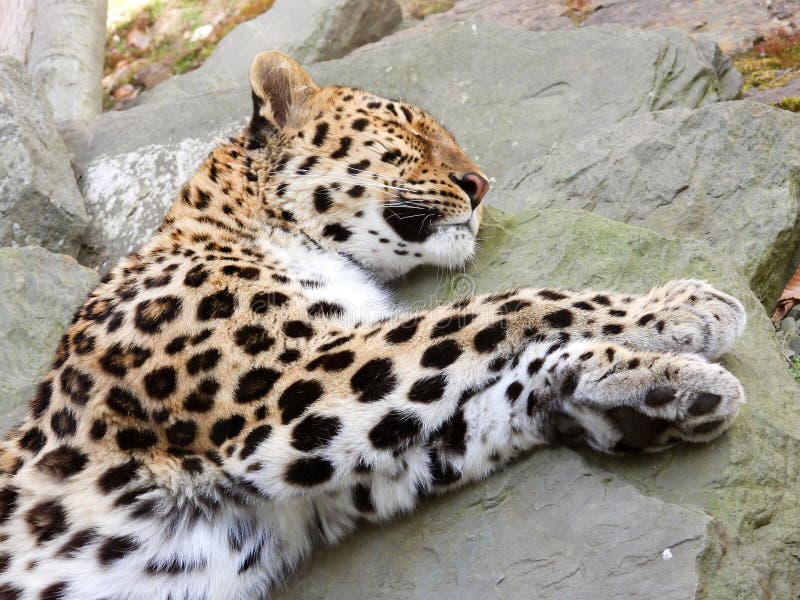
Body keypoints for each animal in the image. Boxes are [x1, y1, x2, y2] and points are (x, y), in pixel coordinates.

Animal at [0, 51, 747, 600]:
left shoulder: (312, 483)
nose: (481, 184)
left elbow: (494, 398)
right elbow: (496, 307)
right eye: (408, 134)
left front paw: (650, 391)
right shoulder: (295, 391)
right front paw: (678, 309)